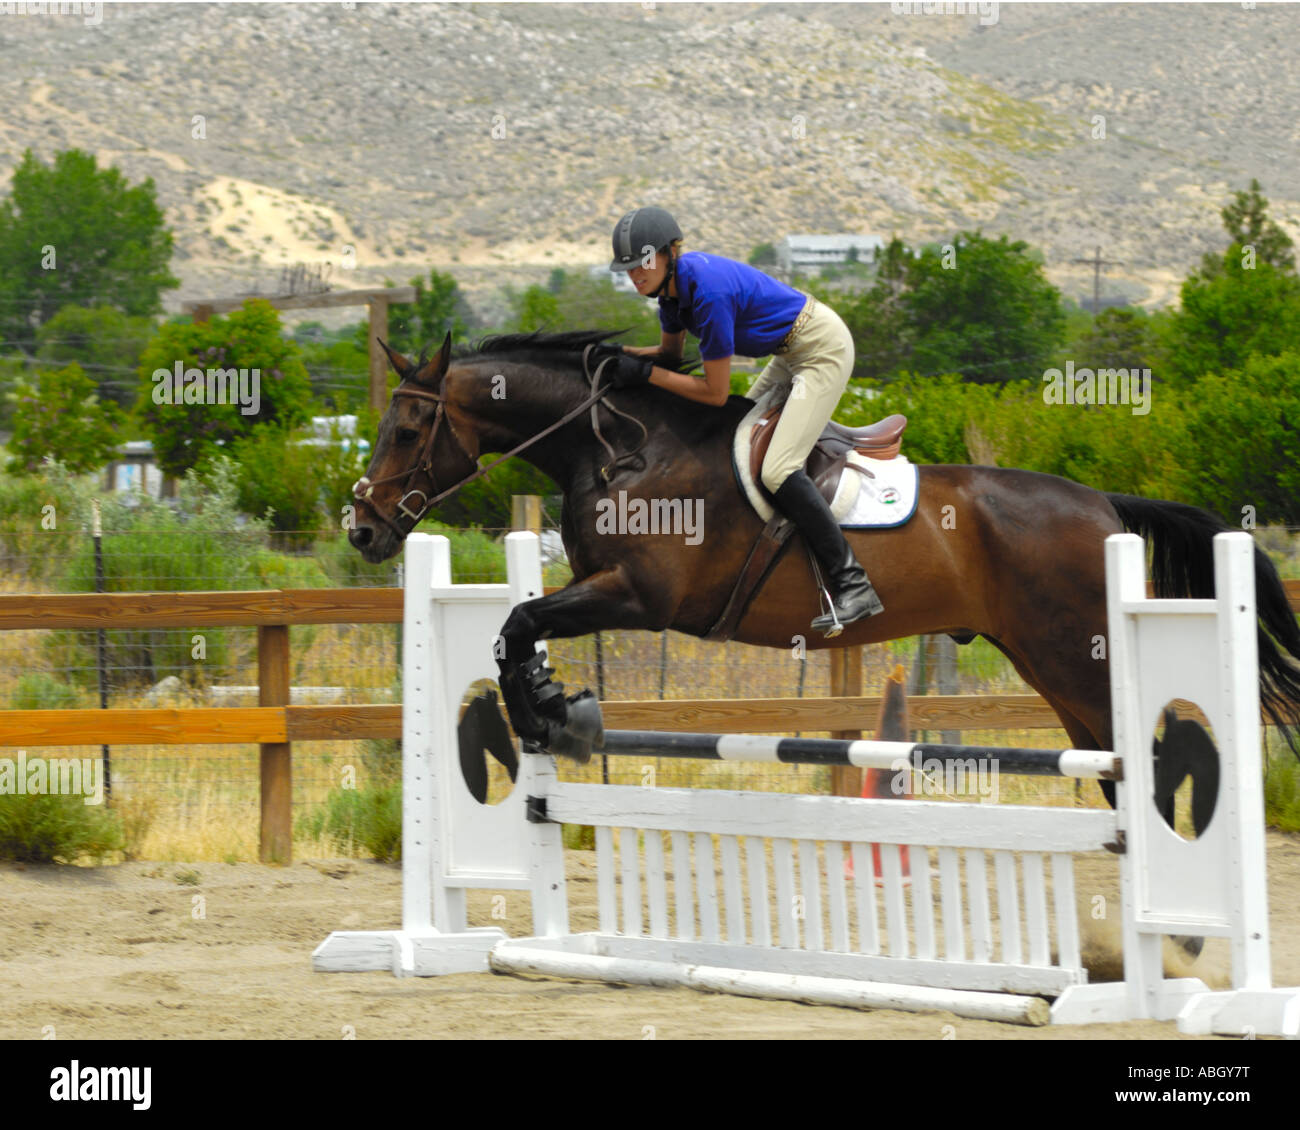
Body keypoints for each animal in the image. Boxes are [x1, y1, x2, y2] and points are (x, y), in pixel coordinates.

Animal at [348, 328, 1300, 802]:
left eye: (408, 427)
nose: (362, 527)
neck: (618, 448)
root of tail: (1103, 504)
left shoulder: (639, 596)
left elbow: (519, 620)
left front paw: (554, 709)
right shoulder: (608, 592)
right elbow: (515, 630)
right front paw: (549, 709)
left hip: (1075, 657)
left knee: (1149, 755)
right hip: (1056, 670)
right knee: (1111, 762)